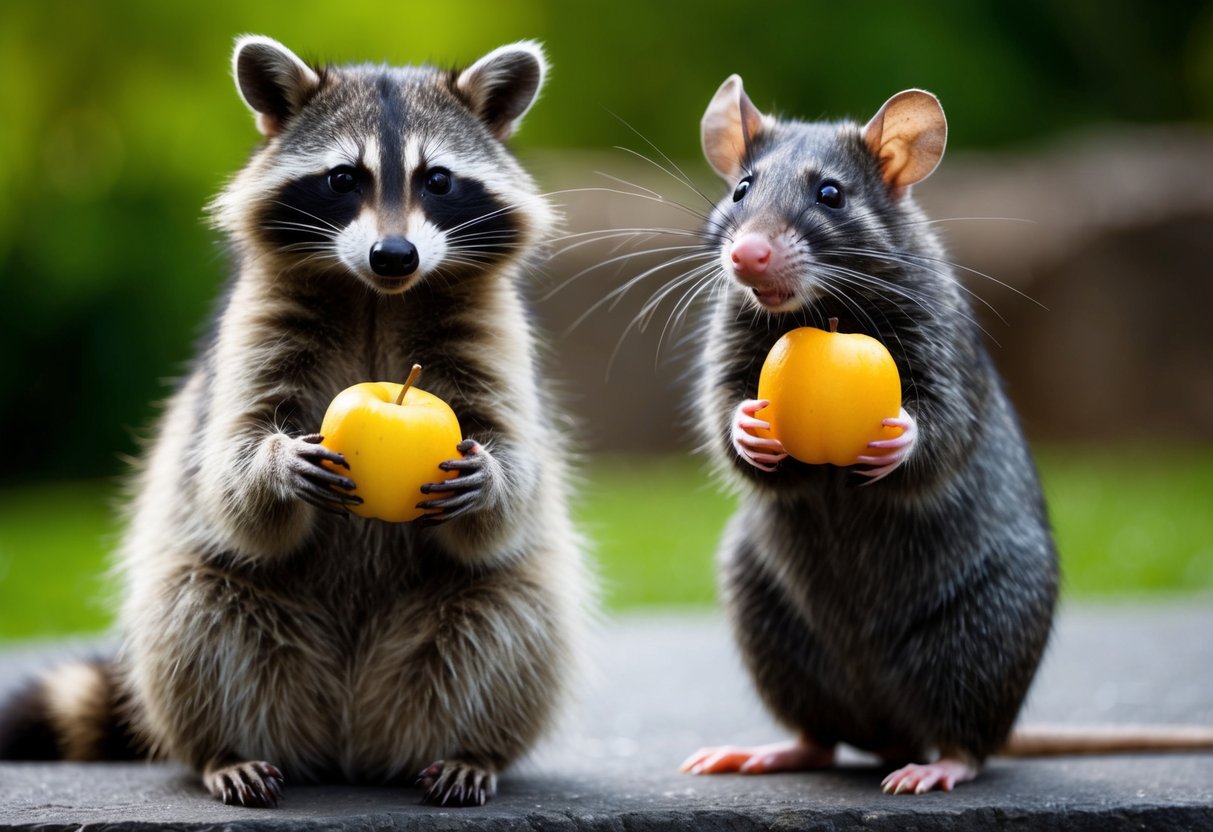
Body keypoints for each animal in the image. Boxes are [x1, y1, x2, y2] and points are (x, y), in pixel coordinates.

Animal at [0, 36, 589, 808]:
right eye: (343, 178)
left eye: (437, 180)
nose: (394, 255)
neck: (378, 296)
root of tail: (350, 743)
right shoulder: (252, 332)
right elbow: (224, 468)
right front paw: (274, 465)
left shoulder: (493, 334)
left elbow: (518, 469)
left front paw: (490, 476)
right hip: (234, 637)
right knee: (191, 610)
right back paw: (223, 750)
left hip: (457, 648)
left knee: (517, 613)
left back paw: (472, 748)